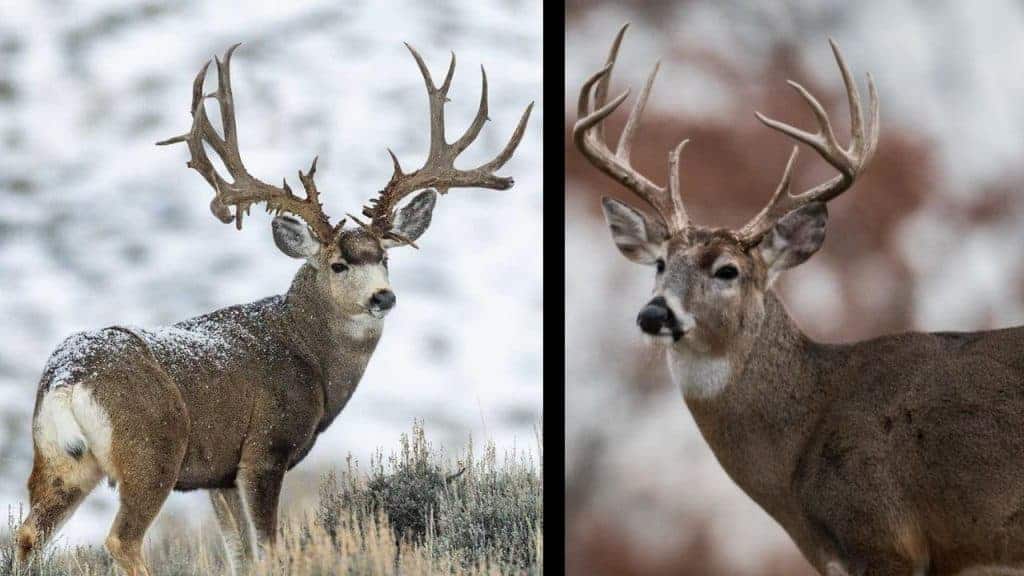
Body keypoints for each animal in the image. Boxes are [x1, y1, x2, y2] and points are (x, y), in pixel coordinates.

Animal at [15, 43, 531, 576]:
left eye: (385, 258)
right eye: (339, 264)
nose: (383, 297)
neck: (309, 354)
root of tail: (68, 378)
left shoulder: (217, 473)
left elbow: (239, 553)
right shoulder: (265, 449)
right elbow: (268, 547)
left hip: (63, 461)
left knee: (29, 533)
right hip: (152, 449)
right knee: (121, 538)